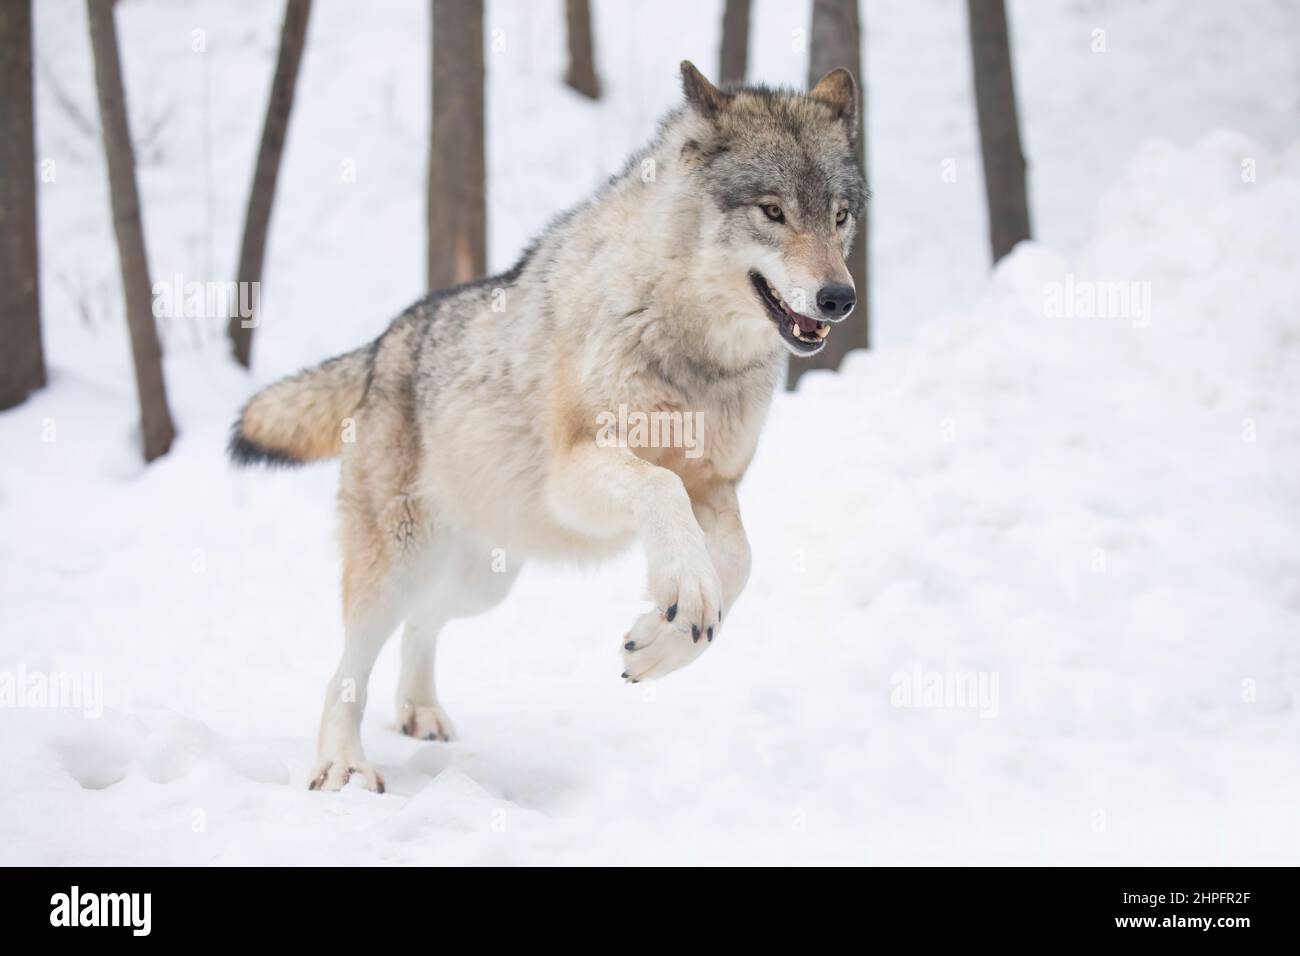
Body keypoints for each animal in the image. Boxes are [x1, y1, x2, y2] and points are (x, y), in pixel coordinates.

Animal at [229, 62, 866, 792]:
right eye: (772, 210)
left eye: (839, 216)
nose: (840, 297)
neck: (691, 348)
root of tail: (382, 343)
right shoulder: (580, 477)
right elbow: (660, 491)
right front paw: (681, 598)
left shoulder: (717, 487)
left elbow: (738, 566)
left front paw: (660, 640)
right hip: (400, 566)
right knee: (350, 663)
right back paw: (341, 763)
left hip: (481, 582)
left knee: (422, 624)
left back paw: (421, 712)